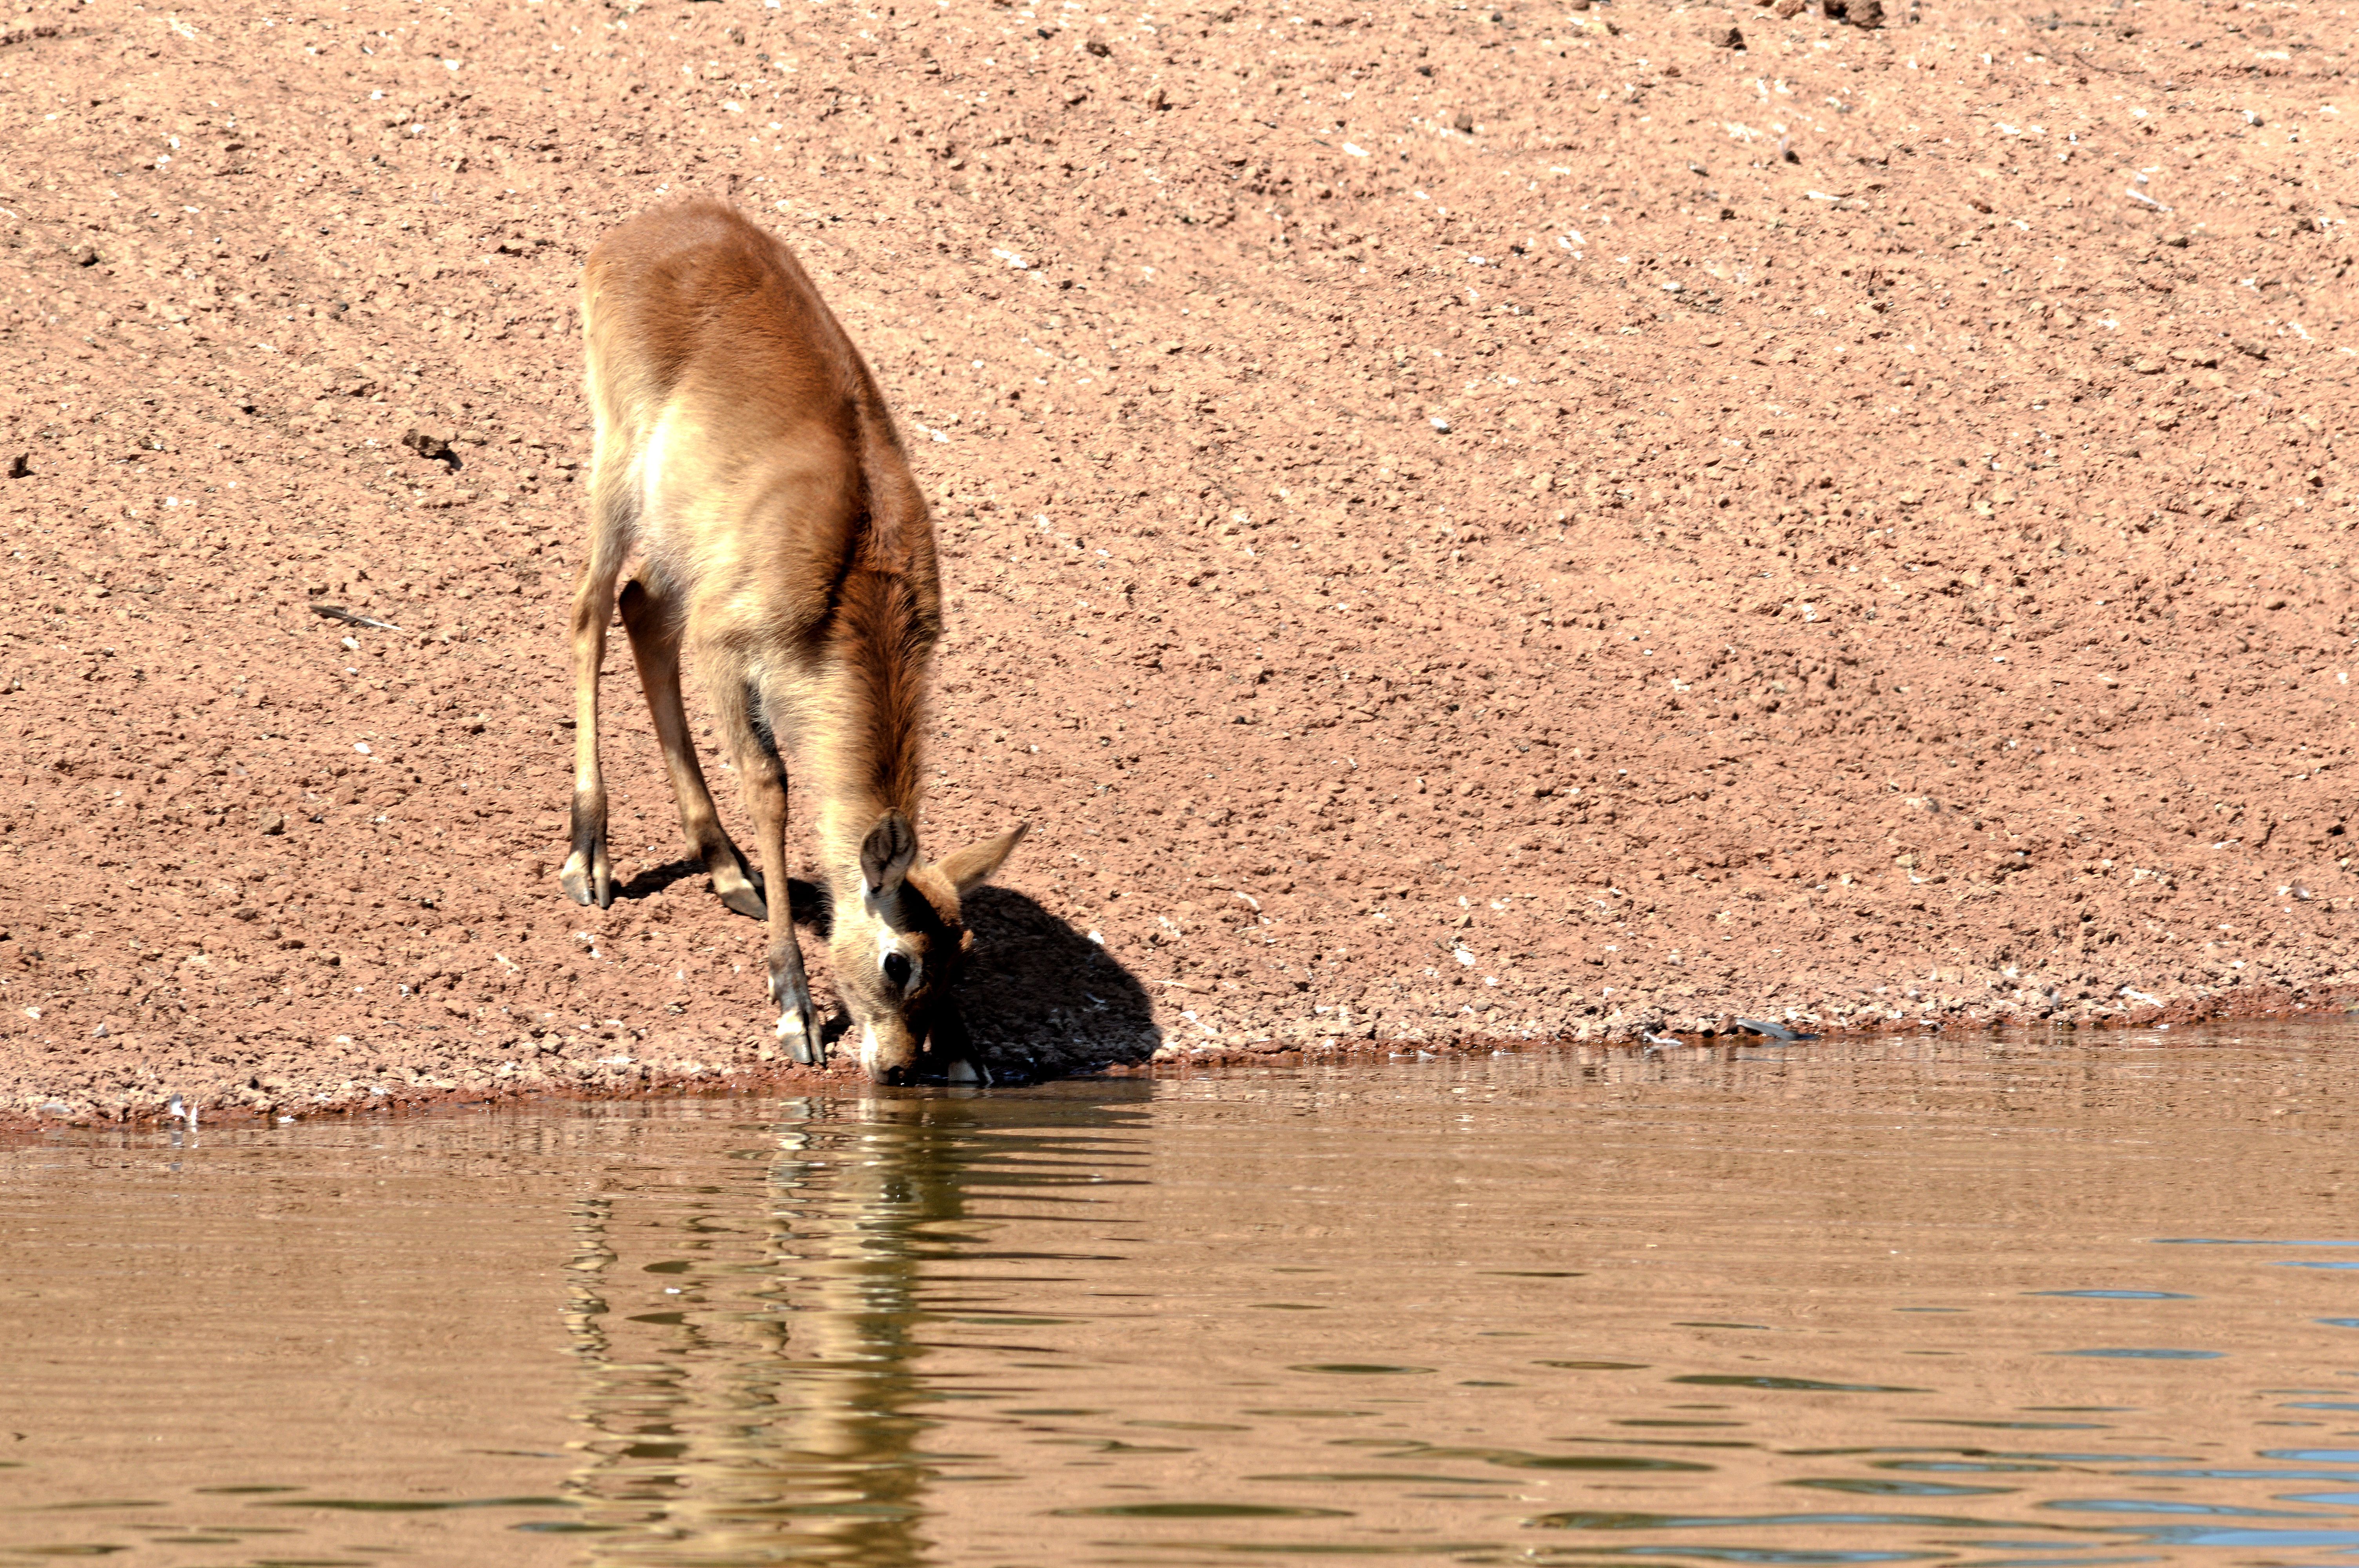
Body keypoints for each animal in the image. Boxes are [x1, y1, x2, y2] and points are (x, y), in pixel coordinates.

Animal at [560, 202, 1025, 1084]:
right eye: (896, 963)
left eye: (963, 954)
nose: (899, 1067)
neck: (858, 577)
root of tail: (641, 228)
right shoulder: (726, 647)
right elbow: (770, 785)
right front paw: (795, 1010)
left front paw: (967, 1051)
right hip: (617, 468)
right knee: (589, 613)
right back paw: (588, 859)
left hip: (675, 543)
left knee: (638, 610)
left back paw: (724, 869)